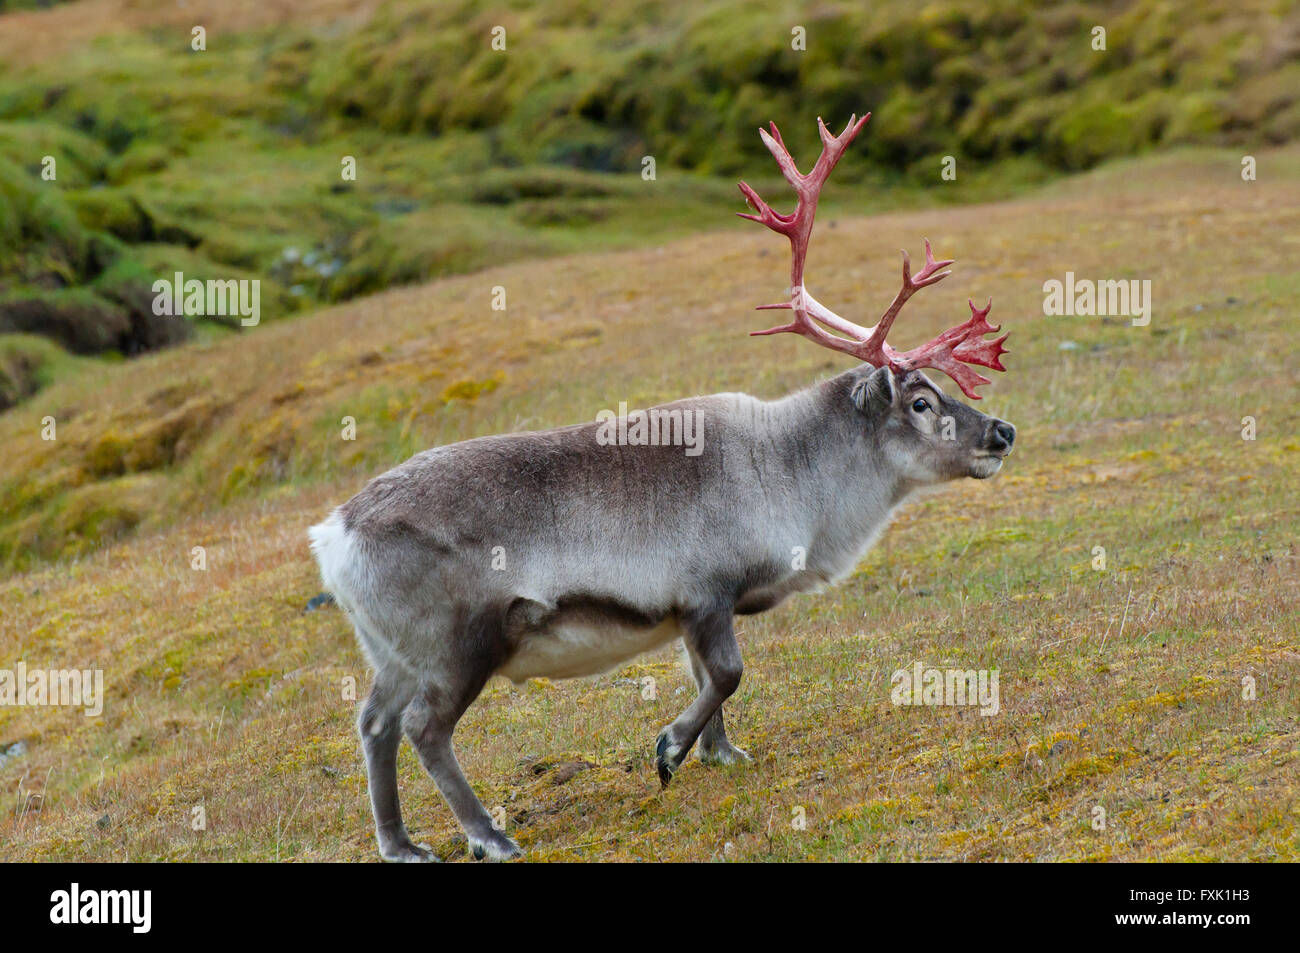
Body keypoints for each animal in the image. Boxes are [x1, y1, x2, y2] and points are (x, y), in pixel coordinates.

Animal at [309, 113, 1014, 862]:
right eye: (920, 400)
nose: (1002, 431)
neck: (791, 469)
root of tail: (335, 531)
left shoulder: (688, 612)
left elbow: (707, 677)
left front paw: (721, 753)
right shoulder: (708, 592)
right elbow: (728, 673)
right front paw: (671, 748)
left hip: (391, 651)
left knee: (373, 722)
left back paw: (400, 843)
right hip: (457, 645)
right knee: (424, 728)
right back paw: (489, 834)